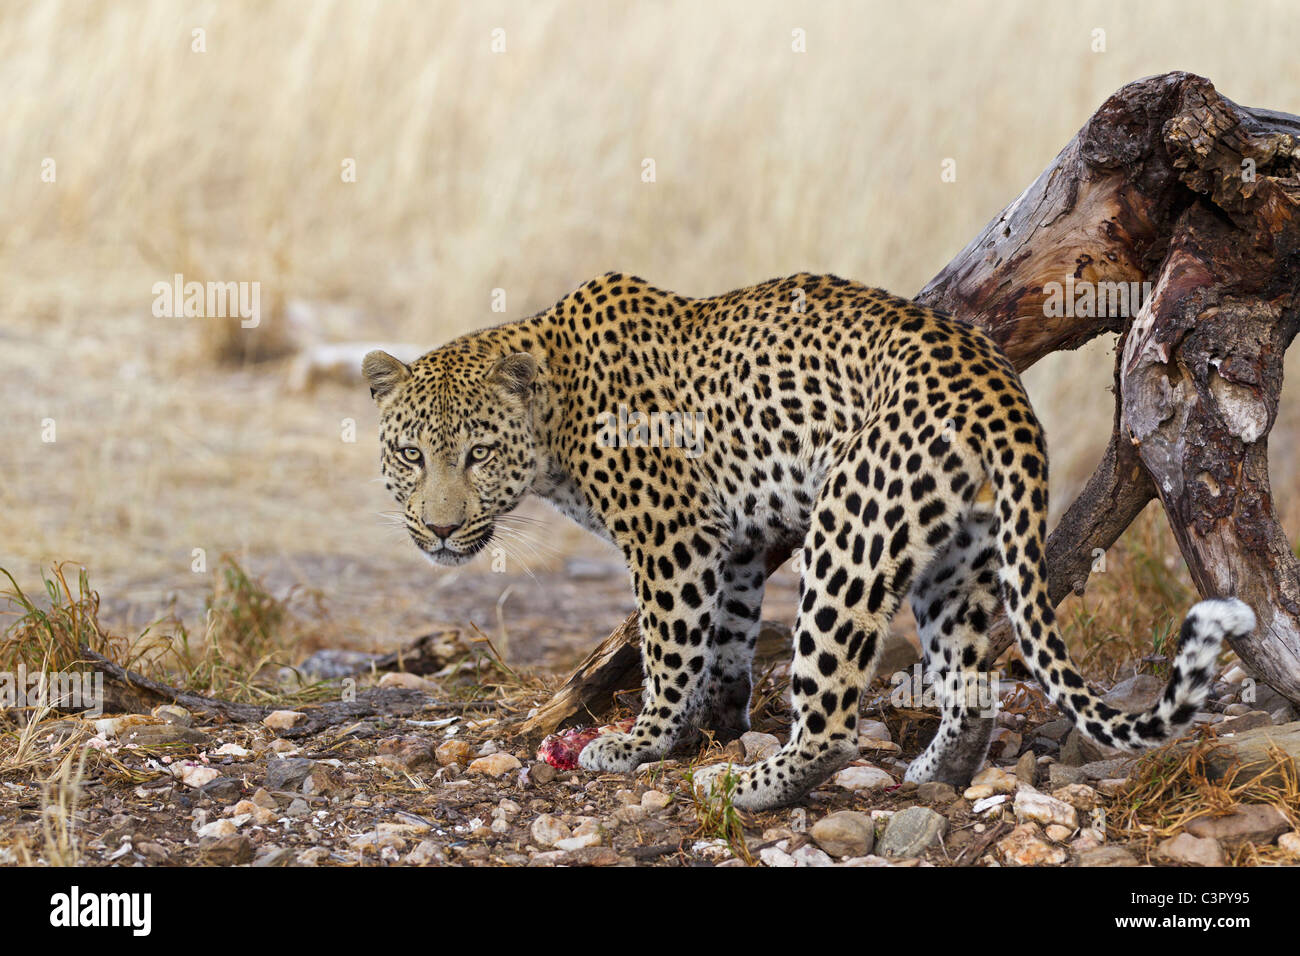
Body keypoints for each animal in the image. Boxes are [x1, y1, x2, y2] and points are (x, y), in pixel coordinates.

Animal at [364, 272, 1256, 811]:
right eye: (411, 454)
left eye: (478, 453)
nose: (439, 527)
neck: (556, 412)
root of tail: (996, 387)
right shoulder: (731, 544)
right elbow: (722, 636)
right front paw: (714, 717)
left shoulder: (671, 538)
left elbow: (669, 647)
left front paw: (643, 741)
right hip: (957, 555)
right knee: (971, 689)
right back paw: (932, 770)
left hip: (848, 532)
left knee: (831, 720)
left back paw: (750, 786)